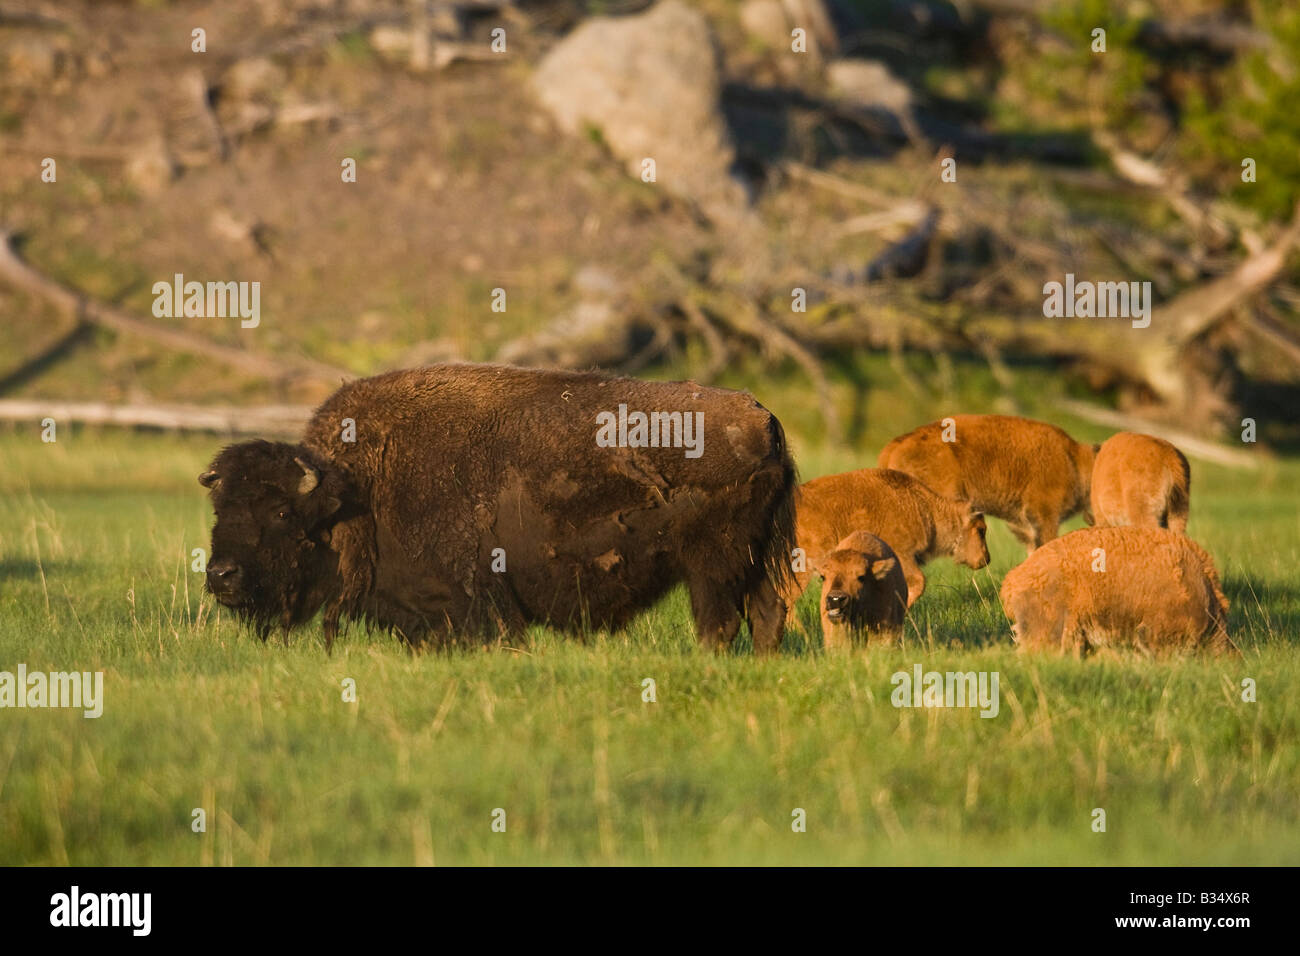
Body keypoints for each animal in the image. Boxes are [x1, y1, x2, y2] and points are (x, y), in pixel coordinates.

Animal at [200, 364, 797, 652]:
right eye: (220, 511)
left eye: (281, 514)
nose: (220, 575)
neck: (355, 489)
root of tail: (763, 418)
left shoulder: (472, 601)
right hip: (753, 561)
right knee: (767, 617)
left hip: (711, 566)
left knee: (720, 625)